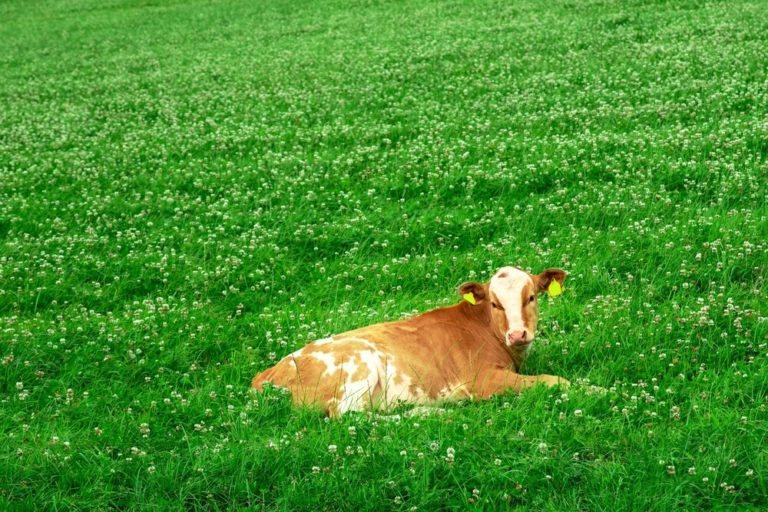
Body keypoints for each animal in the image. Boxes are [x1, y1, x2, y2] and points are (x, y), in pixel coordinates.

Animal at [252, 266, 570, 416]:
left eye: (531, 297)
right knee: (347, 417)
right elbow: (556, 381)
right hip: (359, 367)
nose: (517, 334)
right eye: (495, 304)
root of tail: (267, 373)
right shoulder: (480, 380)